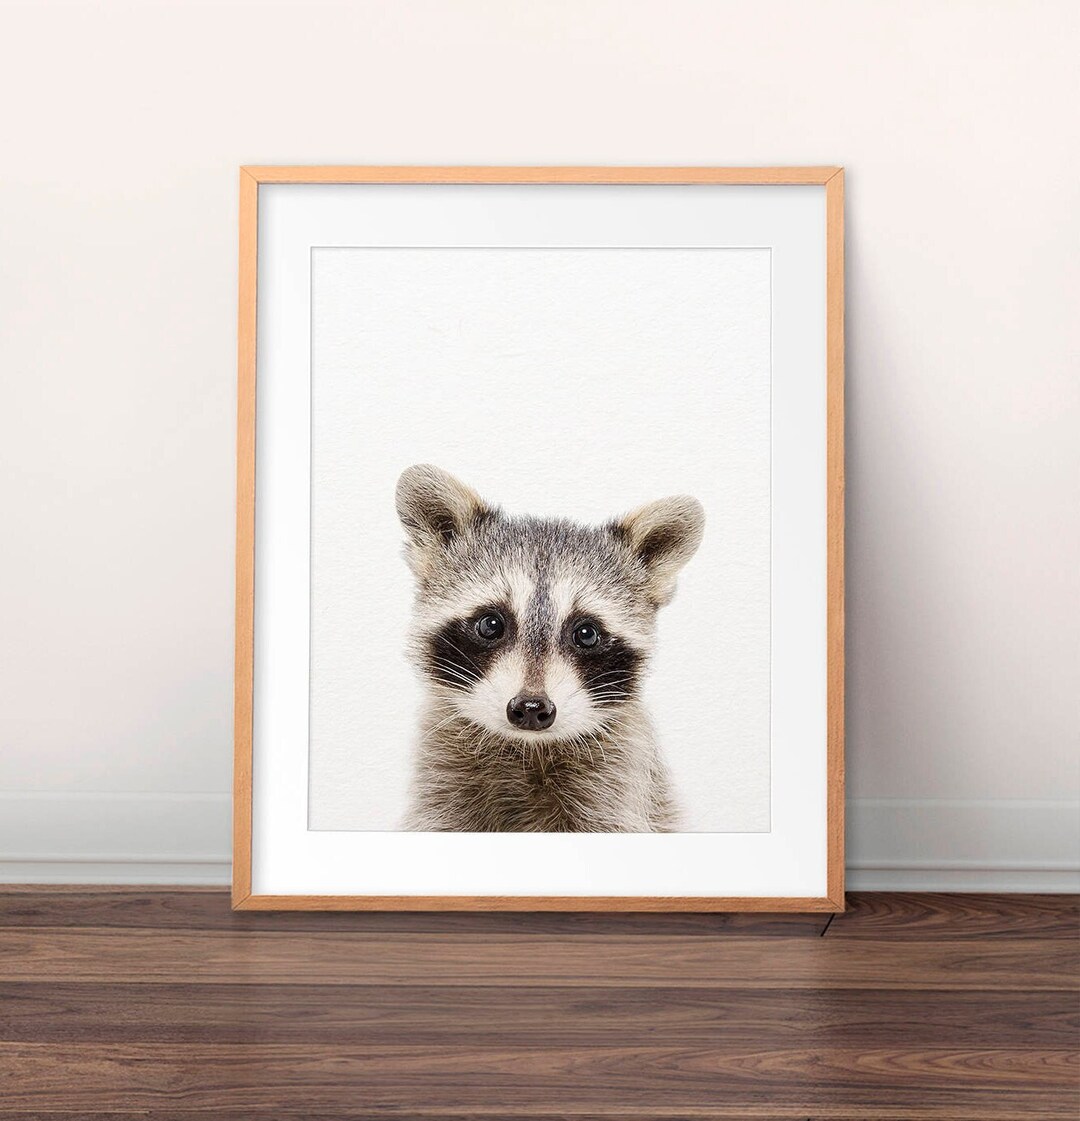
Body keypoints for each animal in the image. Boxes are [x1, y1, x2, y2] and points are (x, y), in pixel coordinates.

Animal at [396, 464, 704, 833]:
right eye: (490, 624)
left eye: (586, 634)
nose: (531, 707)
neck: (528, 748)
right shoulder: (442, 782)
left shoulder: (615, 783)